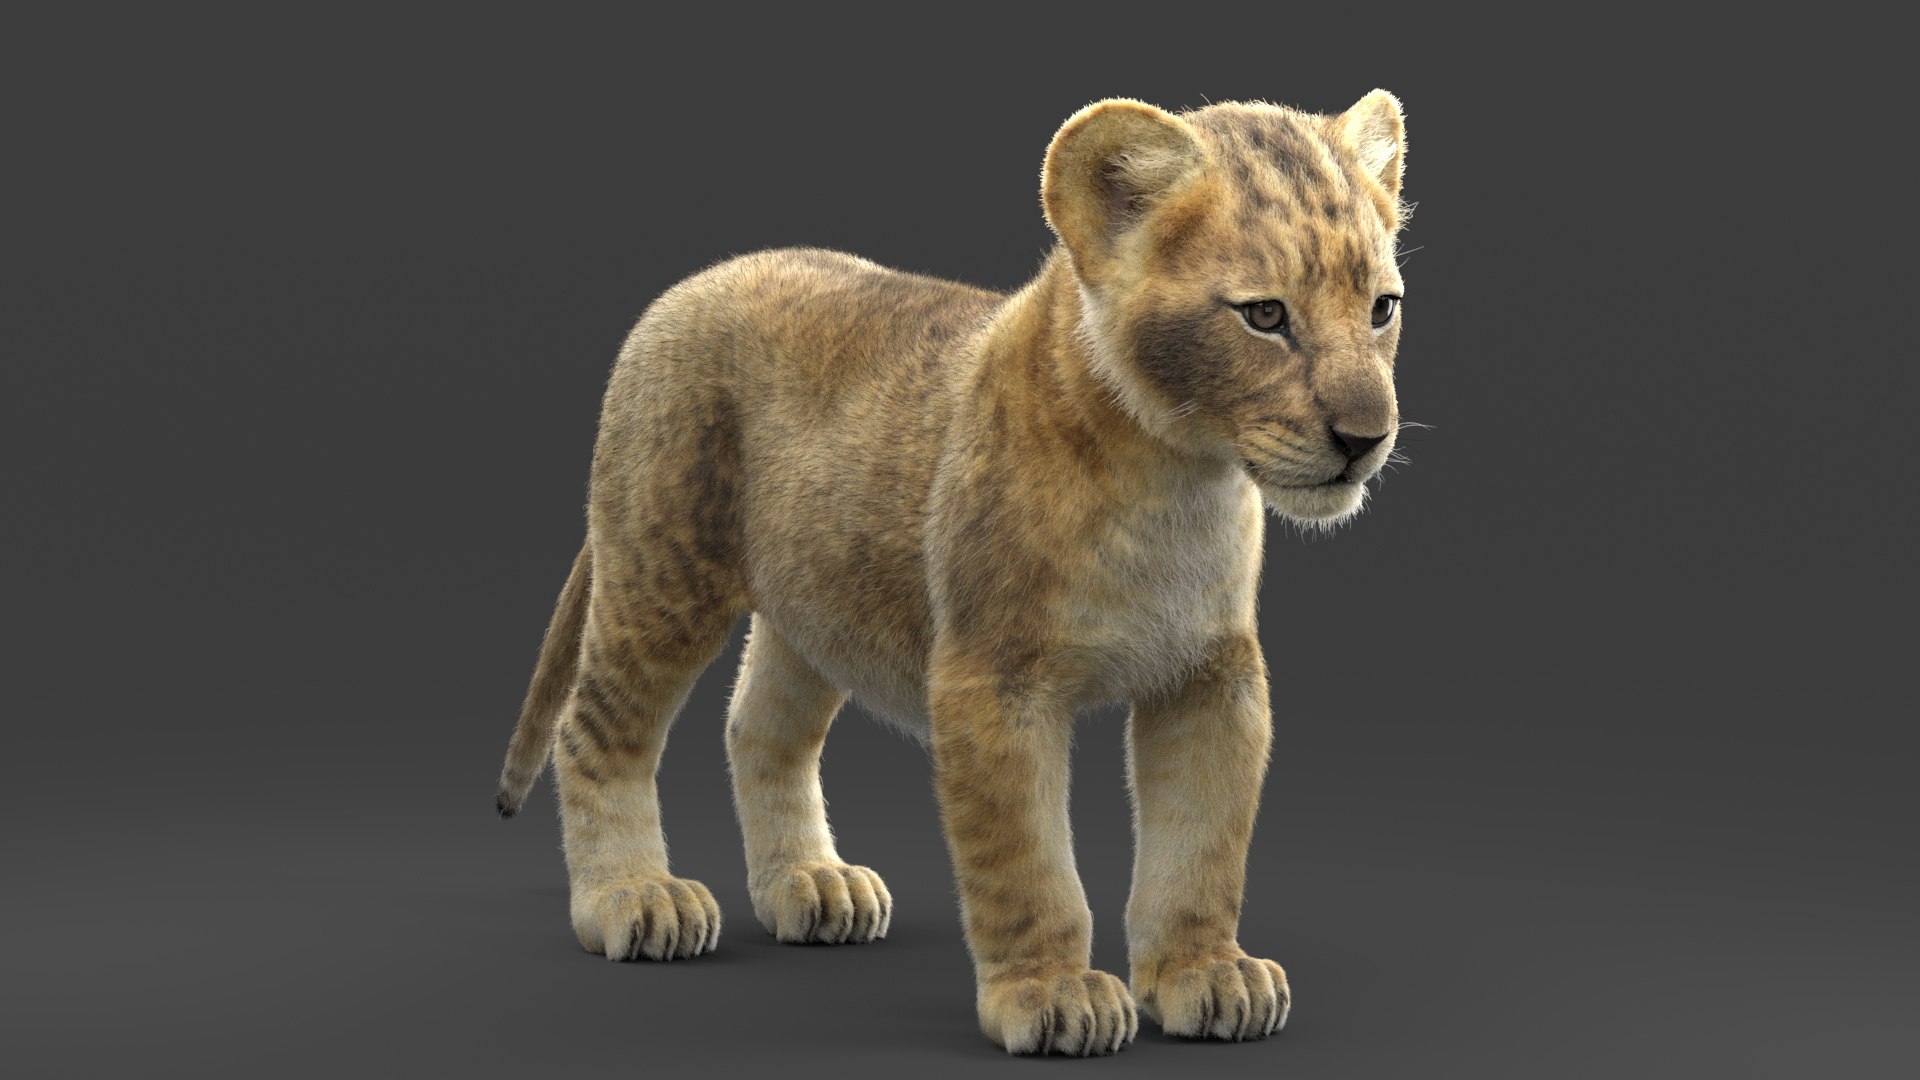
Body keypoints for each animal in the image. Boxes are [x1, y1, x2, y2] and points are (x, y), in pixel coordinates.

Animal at [495, 91, 1409, 1055]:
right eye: (1264, 316)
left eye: (1382, 308)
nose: (1366, 438)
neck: (1172, 479)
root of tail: (691, 284)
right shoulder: (993, 678)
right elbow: (1026, 860)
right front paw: (1052, 993)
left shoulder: (1211, 675)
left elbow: (1203, 845)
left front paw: (1207, 974)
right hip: (662, 570)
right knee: (597, 728)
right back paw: (634, 896)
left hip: (819, 599)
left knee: (759, 726)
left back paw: (812, 882)